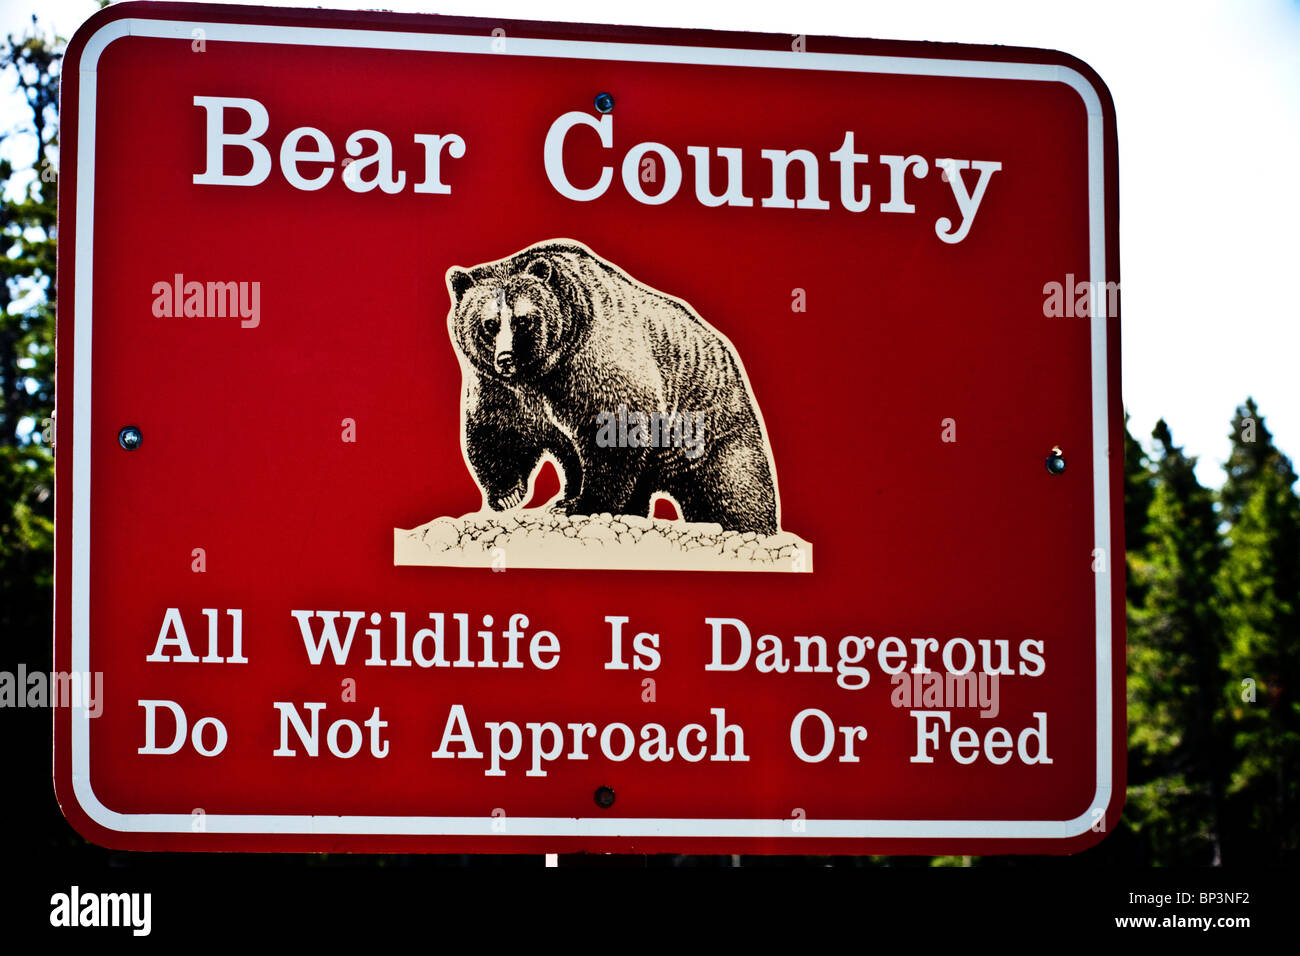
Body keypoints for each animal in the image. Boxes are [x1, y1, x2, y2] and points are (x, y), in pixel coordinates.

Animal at [445, 239, 779, 534]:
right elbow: (497, 430)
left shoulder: (594, 369)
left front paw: (581, 504)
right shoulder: (502, 389)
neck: (541, 374)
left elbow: (613, 433)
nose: (506, 358)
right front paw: (507, 495)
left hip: (708, 429)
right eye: (489, 323)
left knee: (735, 489)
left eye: (523, 320)